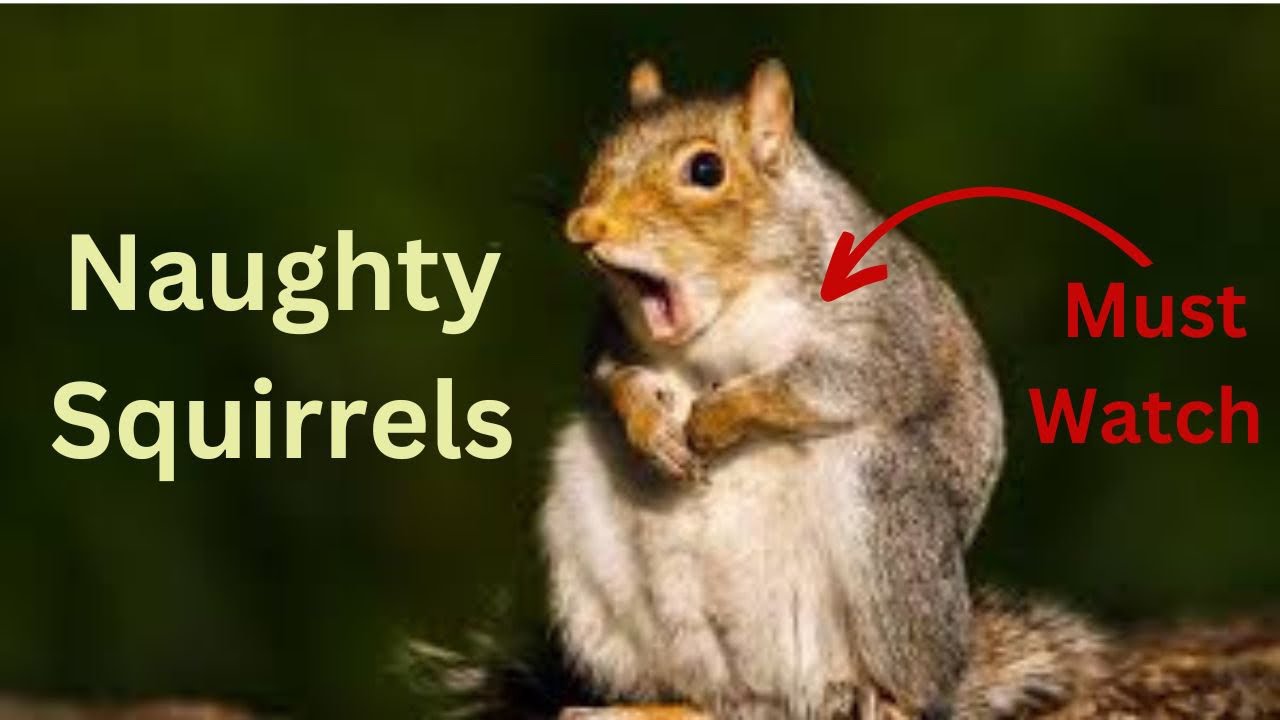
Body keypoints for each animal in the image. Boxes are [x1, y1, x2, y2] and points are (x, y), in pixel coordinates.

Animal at [538, 59, 1004, 719]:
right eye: (603, 151)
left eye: (705, 170)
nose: (583, 226)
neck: (727, 304)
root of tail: (779, 697)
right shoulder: (612, 333)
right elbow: (611, 375)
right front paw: (650, 425)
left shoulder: (883, 330)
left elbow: (837, 381)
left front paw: (715, 418)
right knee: (706, 696)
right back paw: (646, 707)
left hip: (886, 505)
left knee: (918, 680)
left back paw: (889, 699)